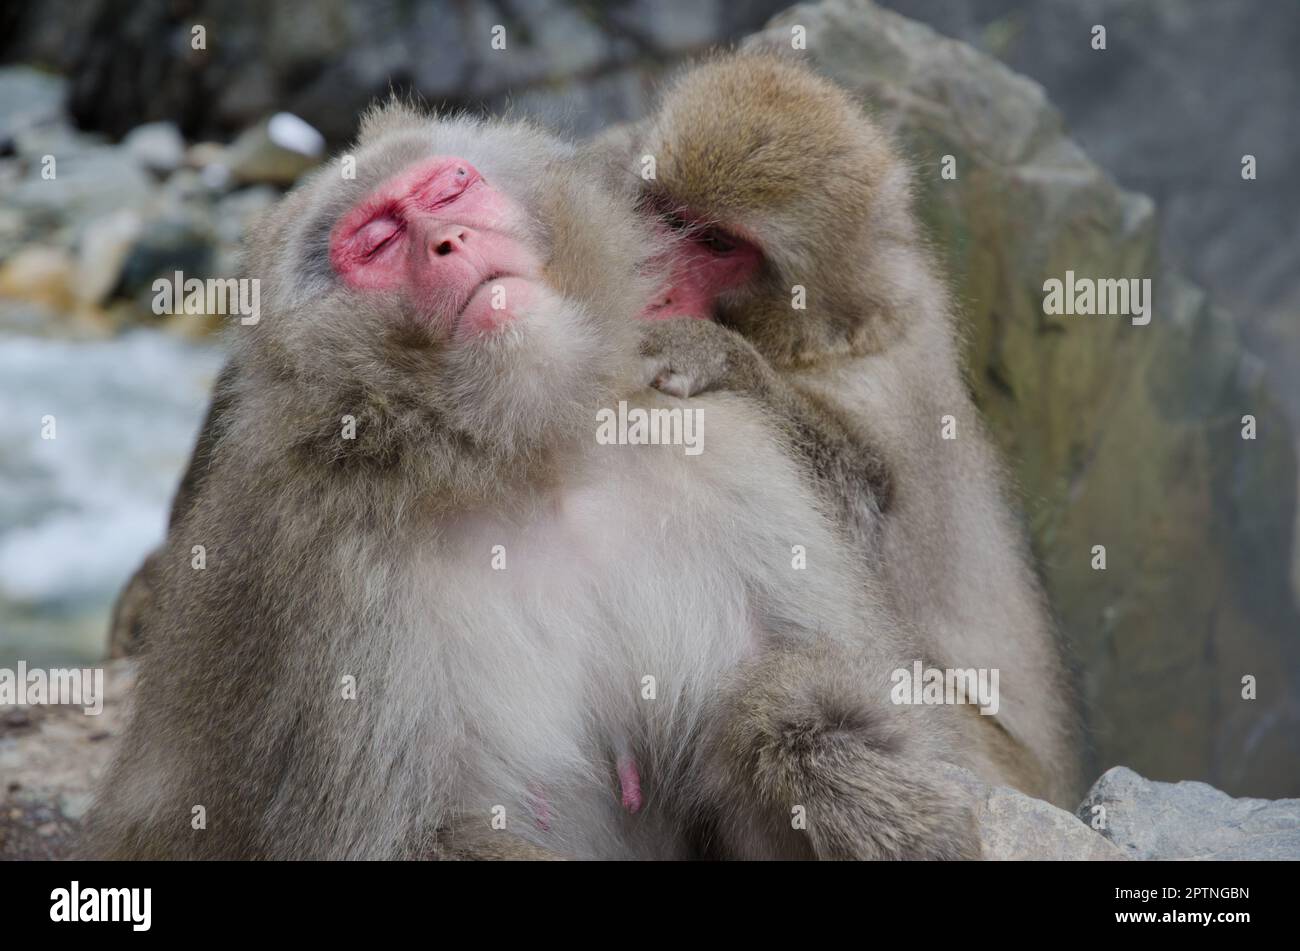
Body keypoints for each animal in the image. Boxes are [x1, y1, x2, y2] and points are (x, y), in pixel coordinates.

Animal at [85, 101, 980, 860]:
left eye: (449, 188)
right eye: (376, 240)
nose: (448, 239)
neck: (536, 463)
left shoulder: (734, 462)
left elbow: (851, 712)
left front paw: (804, 738)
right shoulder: (332, 581)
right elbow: (403, 840)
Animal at [597, 52, 1080, 807]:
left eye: (716, 243)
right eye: (668, 214)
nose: (656, 283)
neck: (825, 329)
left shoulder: (890, 379)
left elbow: (852, 514)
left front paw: (720, 357)